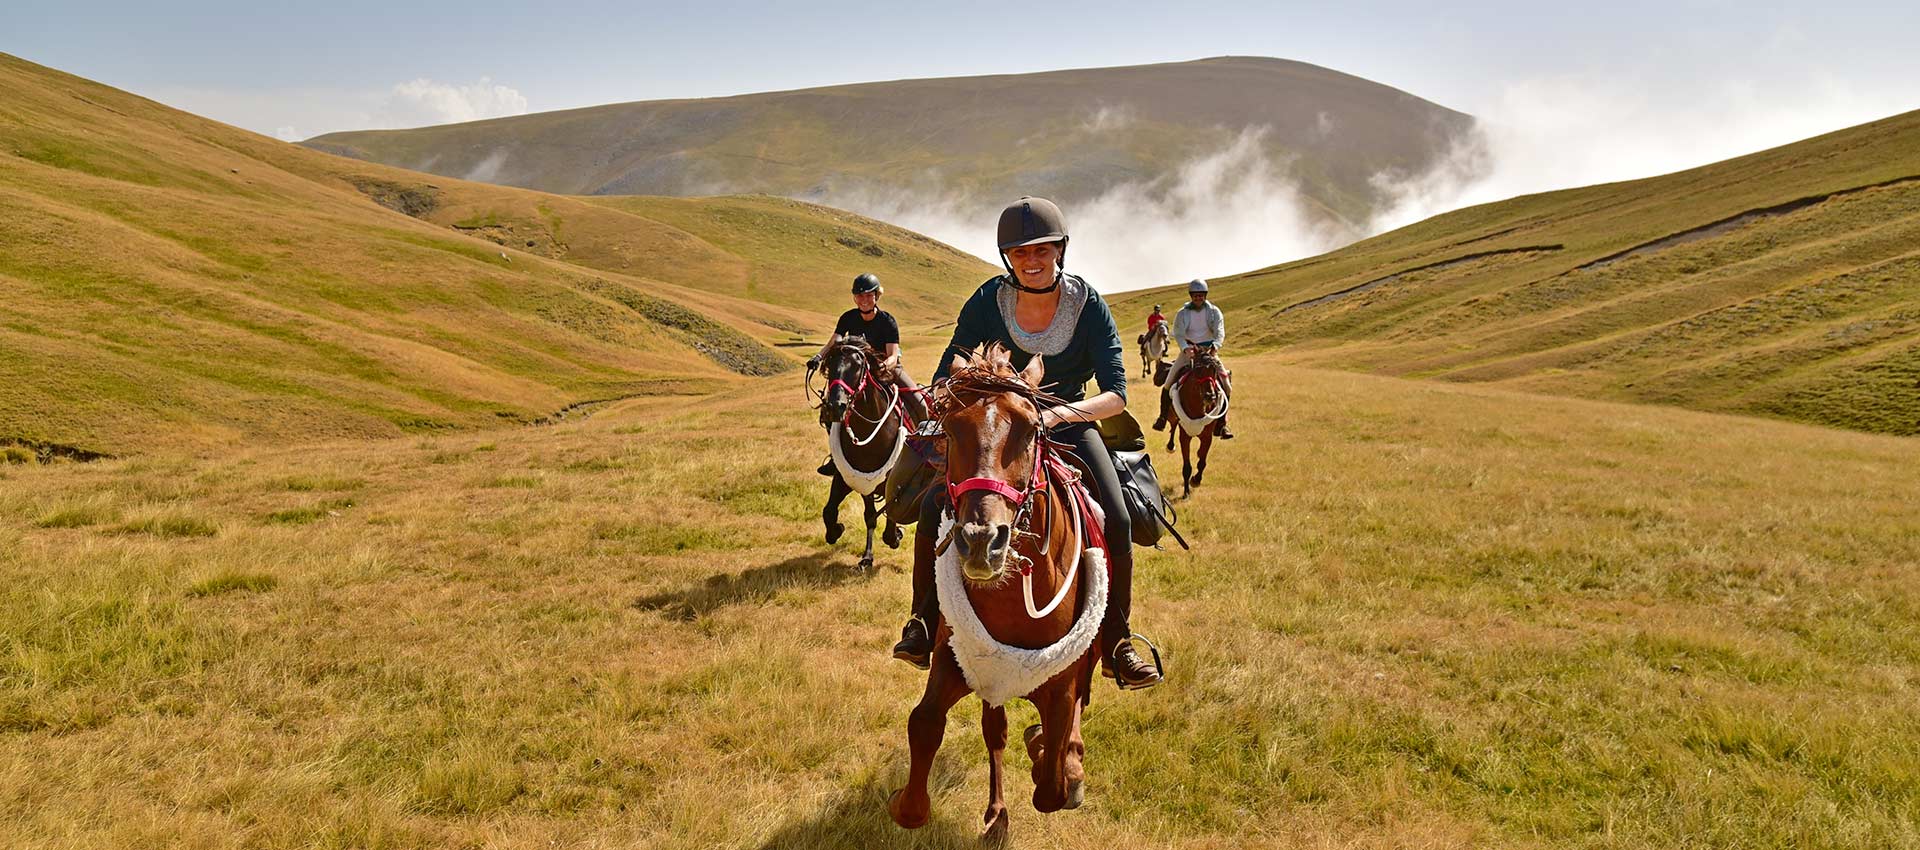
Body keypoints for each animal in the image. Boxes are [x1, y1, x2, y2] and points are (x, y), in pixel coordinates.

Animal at [812, 334, 911, 569]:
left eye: (857, 366)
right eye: (830, 365)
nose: (835, 406)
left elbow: (890, 517)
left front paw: (895, 536)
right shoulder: (848, 478)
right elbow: (836, 512)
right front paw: (840, 533)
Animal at [888, 344, 1107, 843]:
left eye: (1029, 430)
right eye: (950, 430)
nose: (981, 542)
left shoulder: (1062, 680)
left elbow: (1051, 785)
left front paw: (1055, 757)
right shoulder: (955, 657)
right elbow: (924, 724)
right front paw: (906, 804)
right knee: (997, 729)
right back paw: (997, 812)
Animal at [1165, 345, 1228, 498]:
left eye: (1214, 370)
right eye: (1198, 369)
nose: (1210, 396)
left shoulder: (1207, 436)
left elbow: (1202, 461)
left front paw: (1196, 480)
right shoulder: (1185, 436)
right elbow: (1187, 466)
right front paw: (1186, 493)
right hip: (1172, 416)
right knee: (1173, 426)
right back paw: (1170, 446)